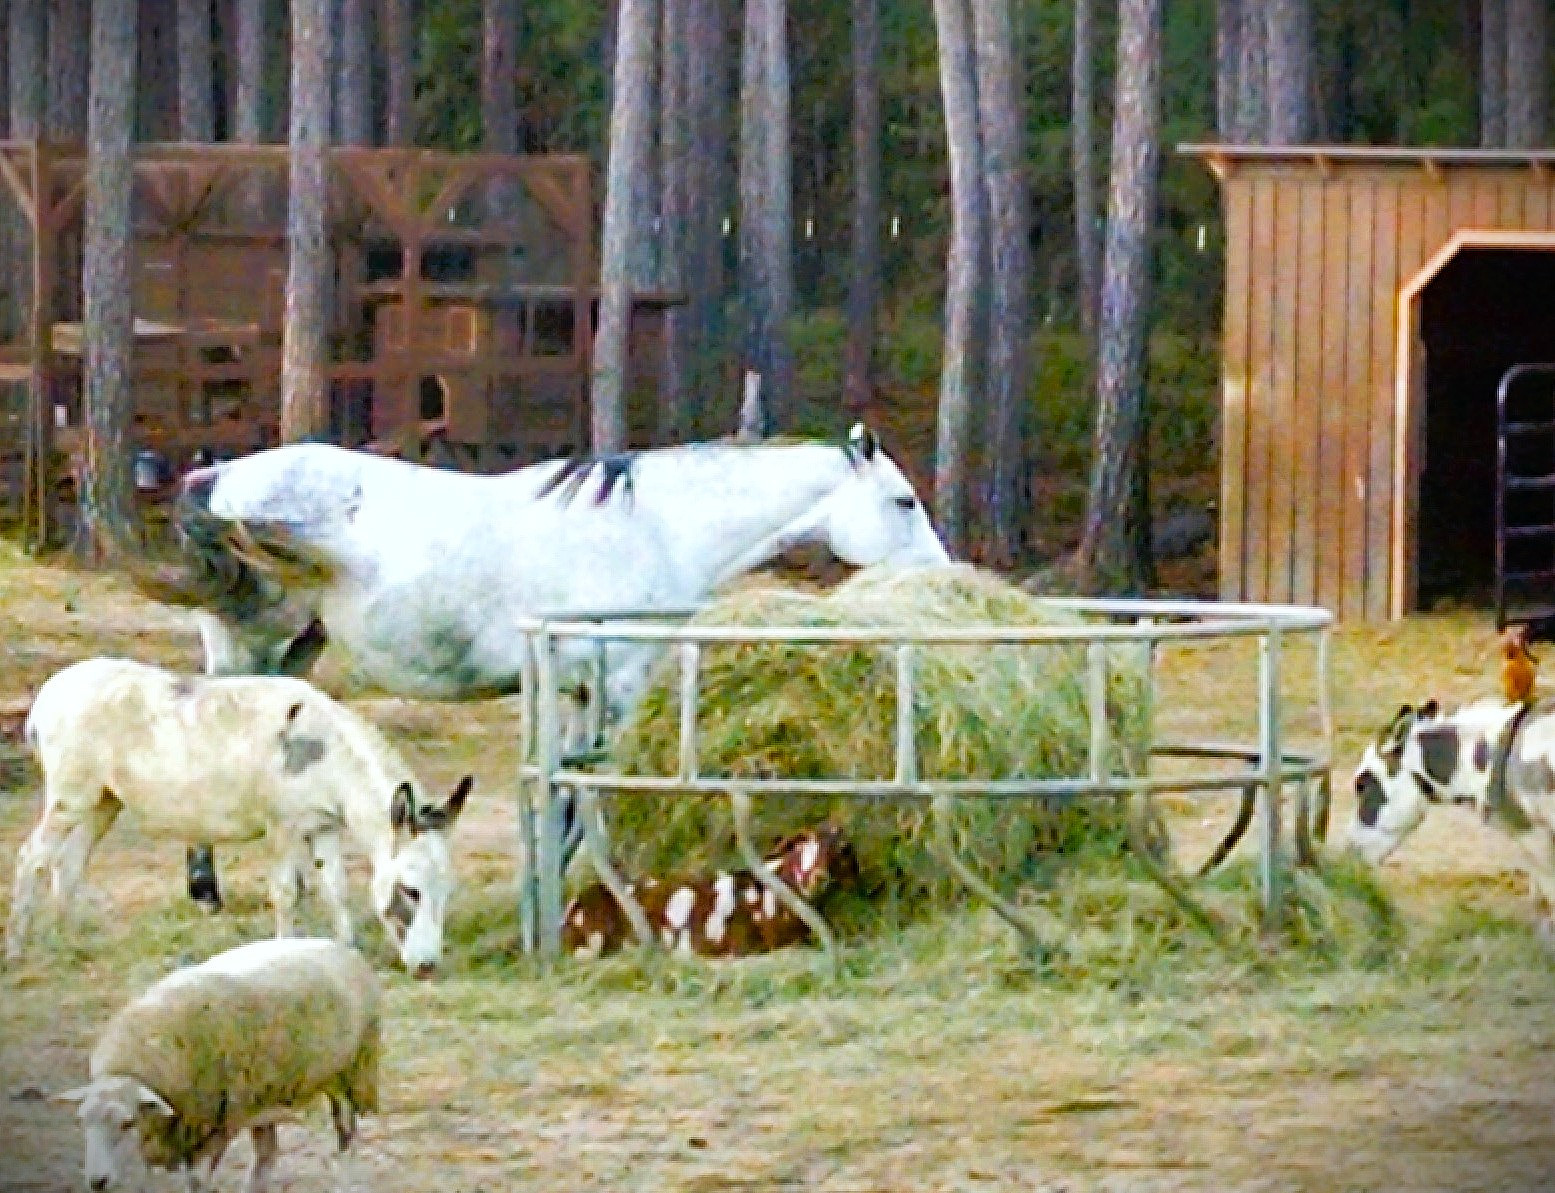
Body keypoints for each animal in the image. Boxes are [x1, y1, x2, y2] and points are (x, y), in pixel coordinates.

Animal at [134, 423, 949, 908]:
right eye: (904, 502)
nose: (947, 571)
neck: (652, 530)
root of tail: (221, 479)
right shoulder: (613, 690)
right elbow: (580, 800)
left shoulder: (580, 693)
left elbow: (564, 801)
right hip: (250, 644)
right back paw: (206, 885)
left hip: (294, 649)